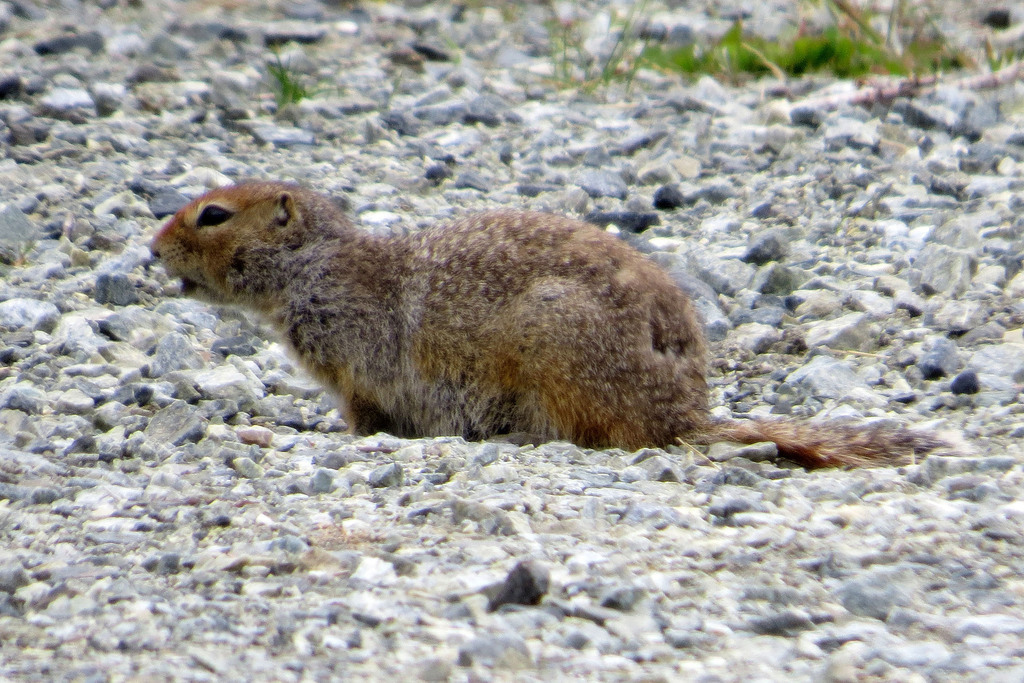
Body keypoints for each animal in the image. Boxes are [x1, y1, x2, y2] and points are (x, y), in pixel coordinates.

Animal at [150, 181, 954, 468]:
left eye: (213, 215)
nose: (150, 248)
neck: (315, 266)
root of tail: (685, 414)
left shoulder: (354, 361)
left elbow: (362, 410)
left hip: (555, 350)